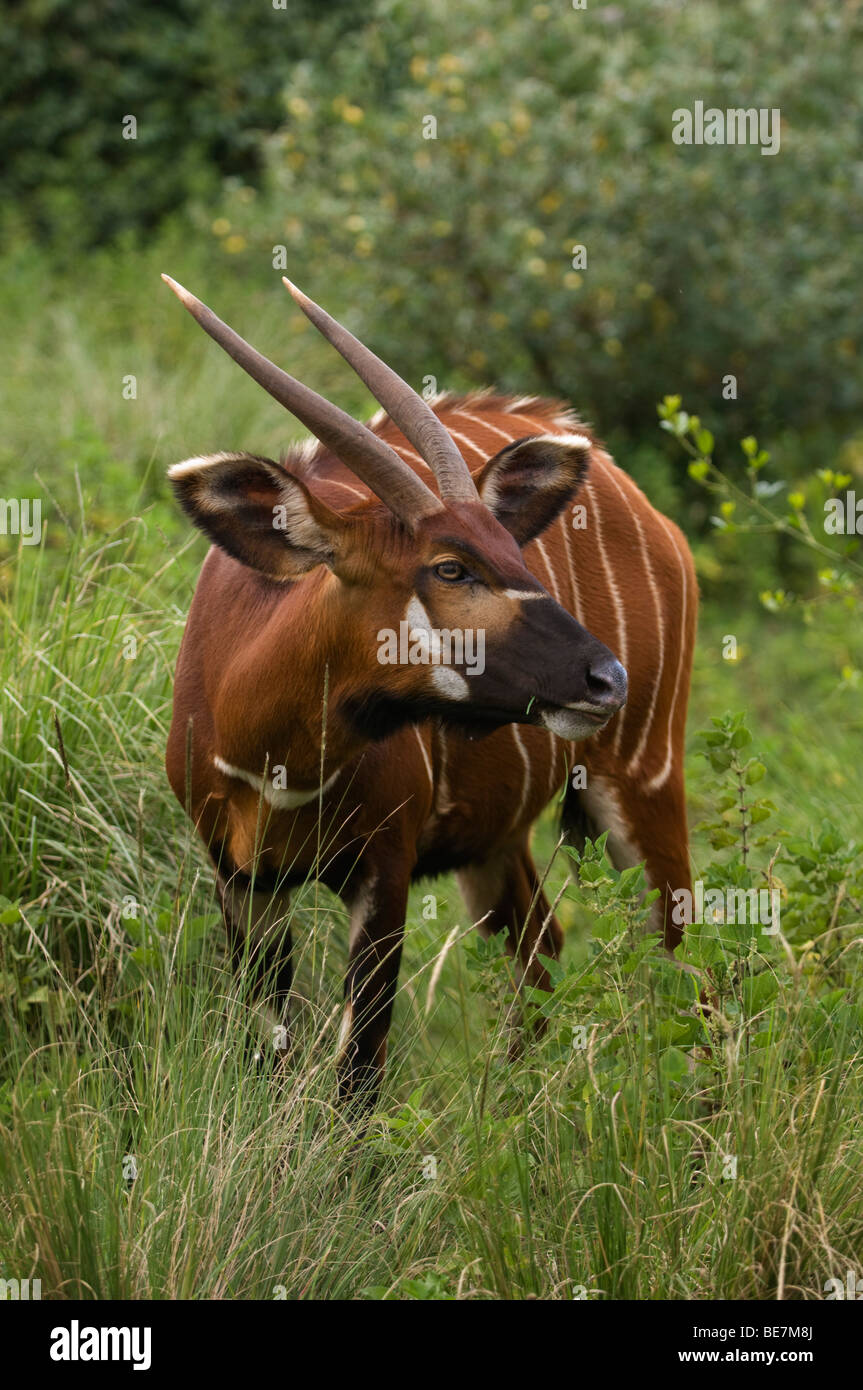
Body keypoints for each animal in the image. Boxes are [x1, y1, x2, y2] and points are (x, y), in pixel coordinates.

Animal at [163, 274, 697, 1105]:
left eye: (513, 551)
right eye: (451, 567)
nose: (604, 678)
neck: (274, 757)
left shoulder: (381, 873)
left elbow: (357, 1076)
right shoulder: (242, 879)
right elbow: (274, 1054)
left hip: (643, 777)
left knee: (683, 961)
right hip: (497, 838)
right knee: (539, 944)